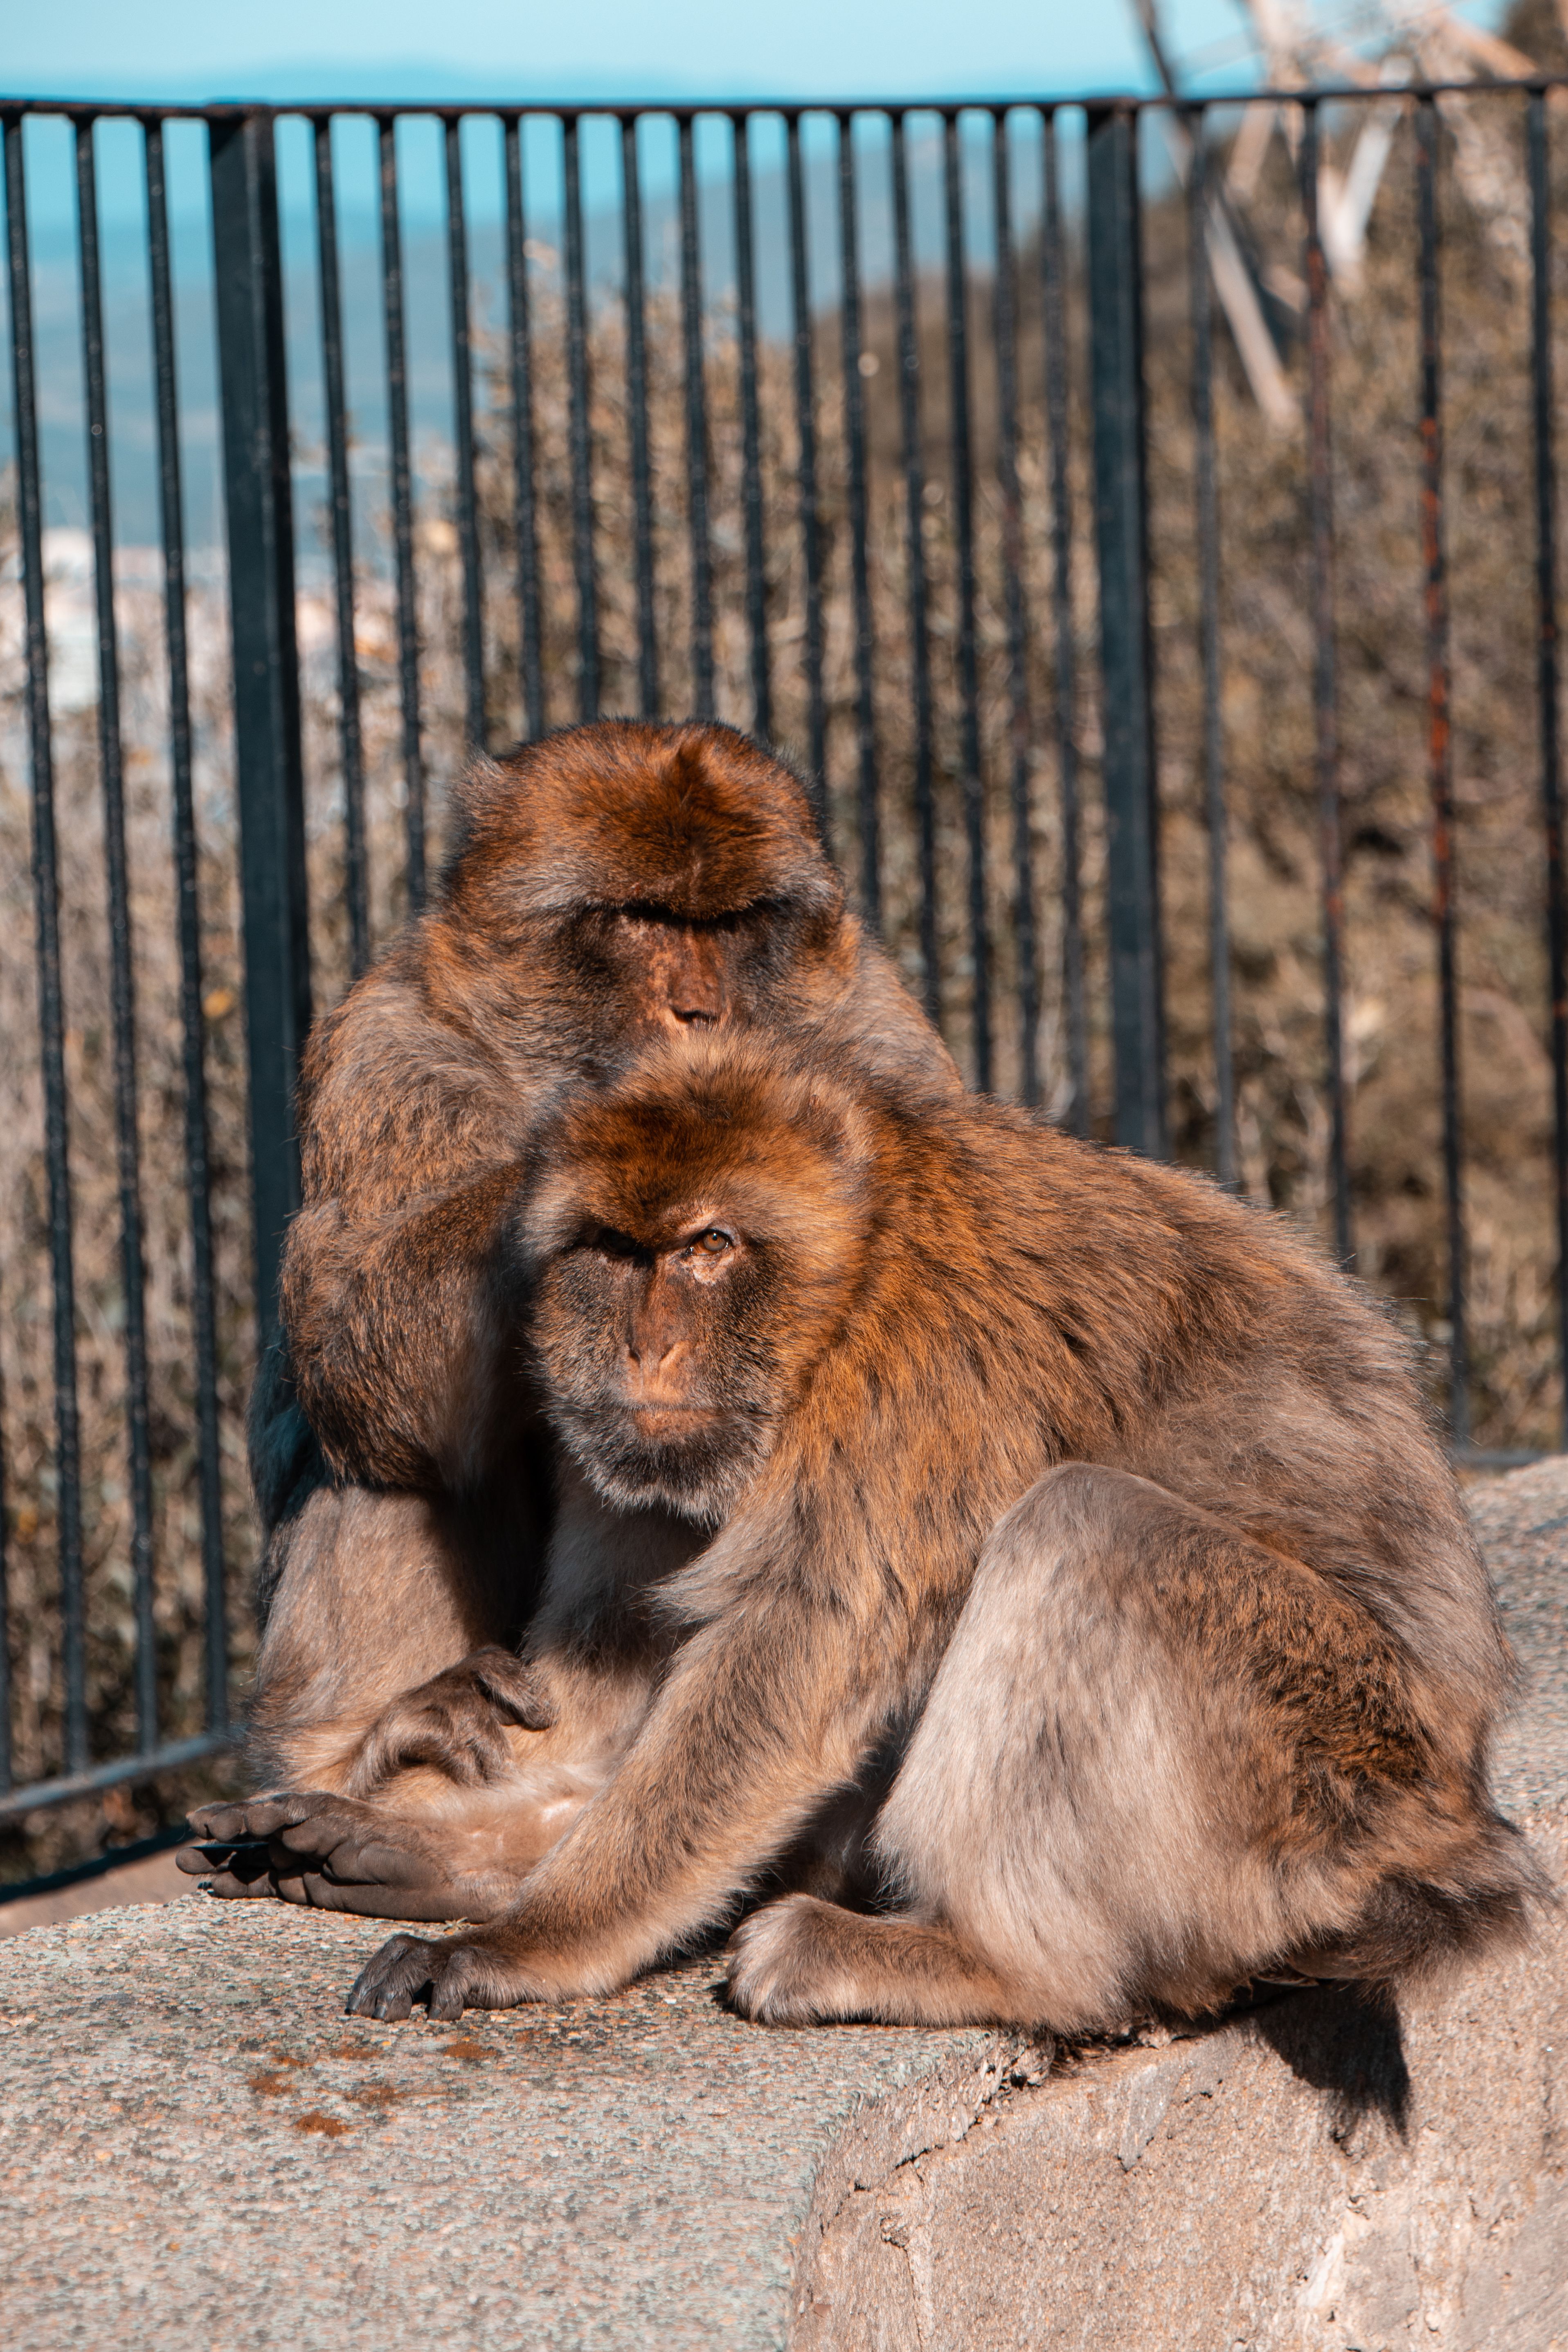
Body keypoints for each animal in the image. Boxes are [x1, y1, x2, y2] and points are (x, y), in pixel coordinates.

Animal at [191, 1031, 1541, 2029]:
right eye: (611, 1248)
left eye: (706, 1246)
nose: (642, 1348)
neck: (839, 1283)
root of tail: (1454, 1820)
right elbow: (620, 1640)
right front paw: (448, 1801)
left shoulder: (919, 1364)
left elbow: (796, 1650)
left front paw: (530, 1932)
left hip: (1325, 1783)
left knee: (1085, 1525)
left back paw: (996, 1963)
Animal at [229, 720, 959, 1818]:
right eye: (639, 918)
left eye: (729, 922)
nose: (701, 1010)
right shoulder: (385, 1051)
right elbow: (341, 1328)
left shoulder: (884, 1036)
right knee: (390, 1446)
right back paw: (360, 1754)